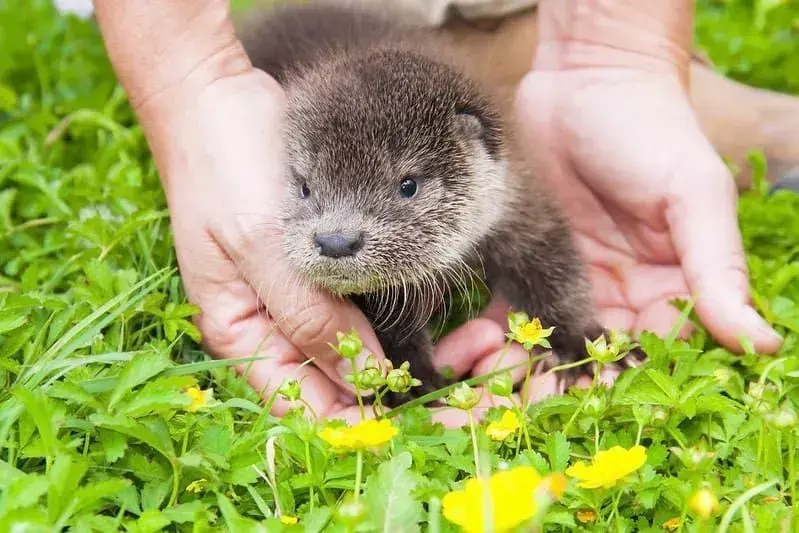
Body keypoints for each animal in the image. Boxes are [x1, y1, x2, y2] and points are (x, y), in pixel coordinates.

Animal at [241, 0, 616, 400]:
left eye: (408, 185)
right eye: (305, 186)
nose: (335, 241)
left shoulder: (518, 199)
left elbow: (550, 263)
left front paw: (578, 344)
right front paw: (413, 384)